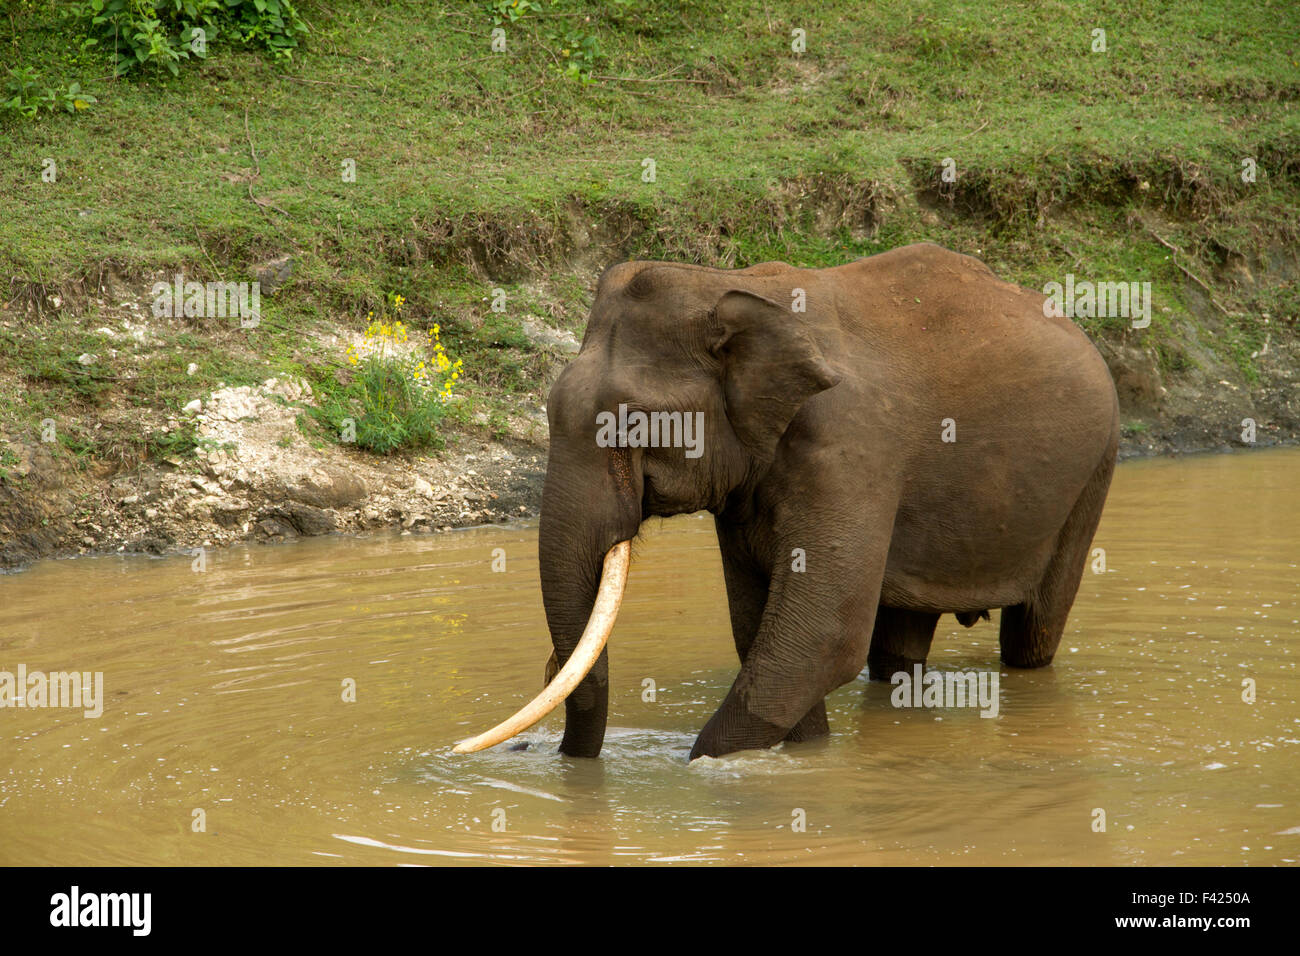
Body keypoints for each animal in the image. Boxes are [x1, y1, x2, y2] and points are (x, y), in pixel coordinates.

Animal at [454, 242, 1119, 761]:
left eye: (634, 426)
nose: (533, 750)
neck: (733, 288)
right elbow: (760, 629)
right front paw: (806, 754)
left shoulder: (851, 451)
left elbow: (818, 639)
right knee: (899, 642)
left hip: (1093, 471)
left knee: (1035, 629)